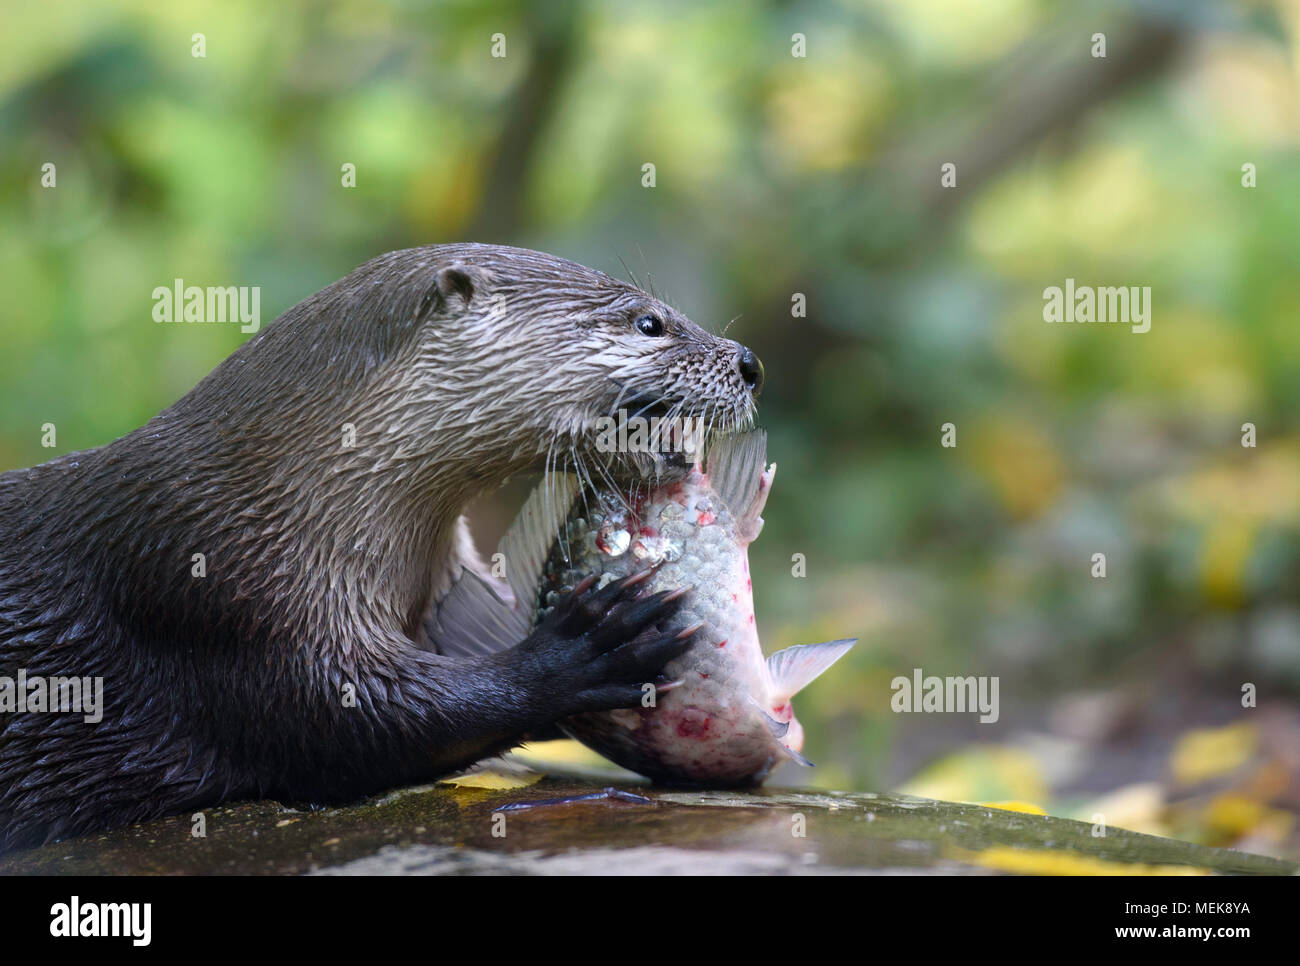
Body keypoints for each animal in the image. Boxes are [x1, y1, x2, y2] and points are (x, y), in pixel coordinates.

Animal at [0, 243, 763, 852]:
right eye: (649, 322)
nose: (752, 362)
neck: (279, 493)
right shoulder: (221, 592)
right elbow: (345, 722)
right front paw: (583, 649)